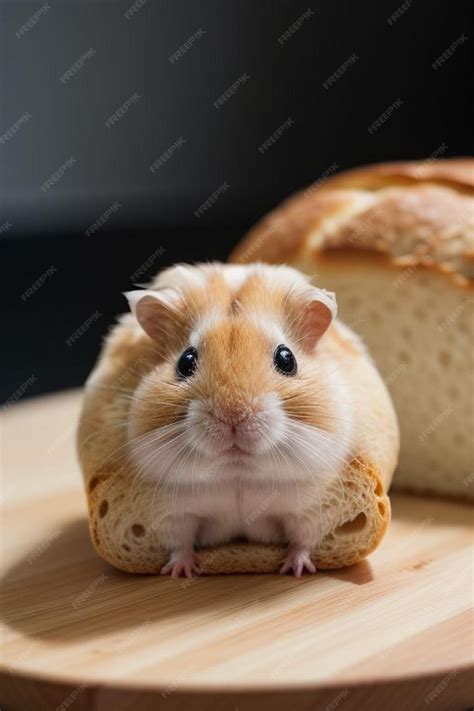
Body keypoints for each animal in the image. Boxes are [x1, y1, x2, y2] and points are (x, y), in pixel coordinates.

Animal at [125, 262, 355, 577]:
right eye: (185, 362)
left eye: (287, 359)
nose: (233, 415)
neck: (237, 474)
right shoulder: (176, 516)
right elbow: (180, 545)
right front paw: (180, 572)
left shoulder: (307, 511)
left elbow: (302, 541)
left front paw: (294, 570)